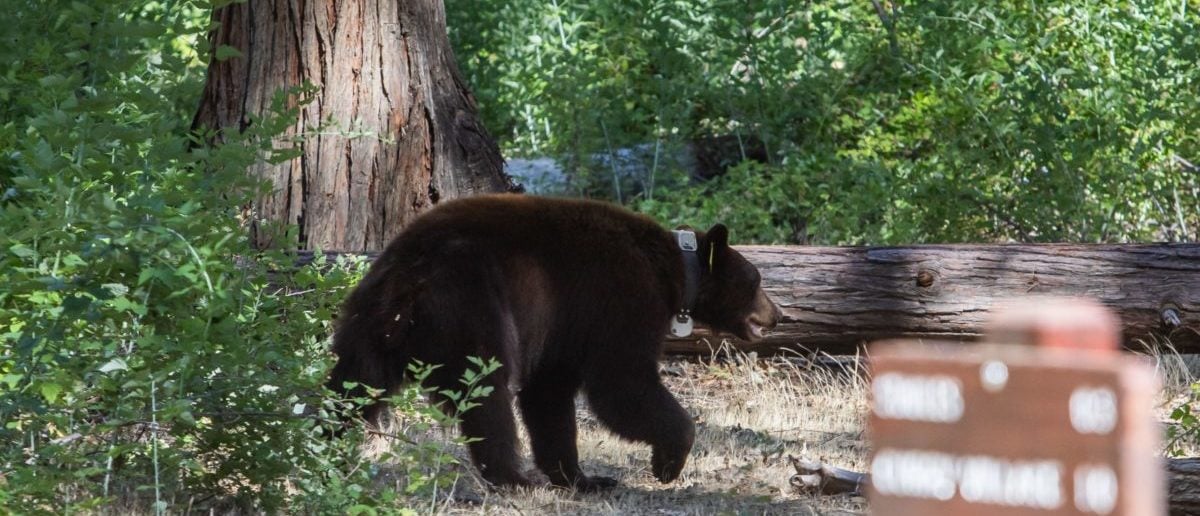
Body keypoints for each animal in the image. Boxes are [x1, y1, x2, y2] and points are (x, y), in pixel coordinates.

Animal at [327, 193, 781, 491]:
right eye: (757, 279)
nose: (778, 314)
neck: (673, 272)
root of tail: (408, 277)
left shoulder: (564, 326)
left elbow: (550, 396)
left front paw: (583, 477)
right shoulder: (619, 298)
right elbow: (622, 385)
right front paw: (668, 462)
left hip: (366, 324)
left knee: (352, 387)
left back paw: (330, 449)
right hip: (471, 303)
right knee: (486, 390)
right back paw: (513, 476)